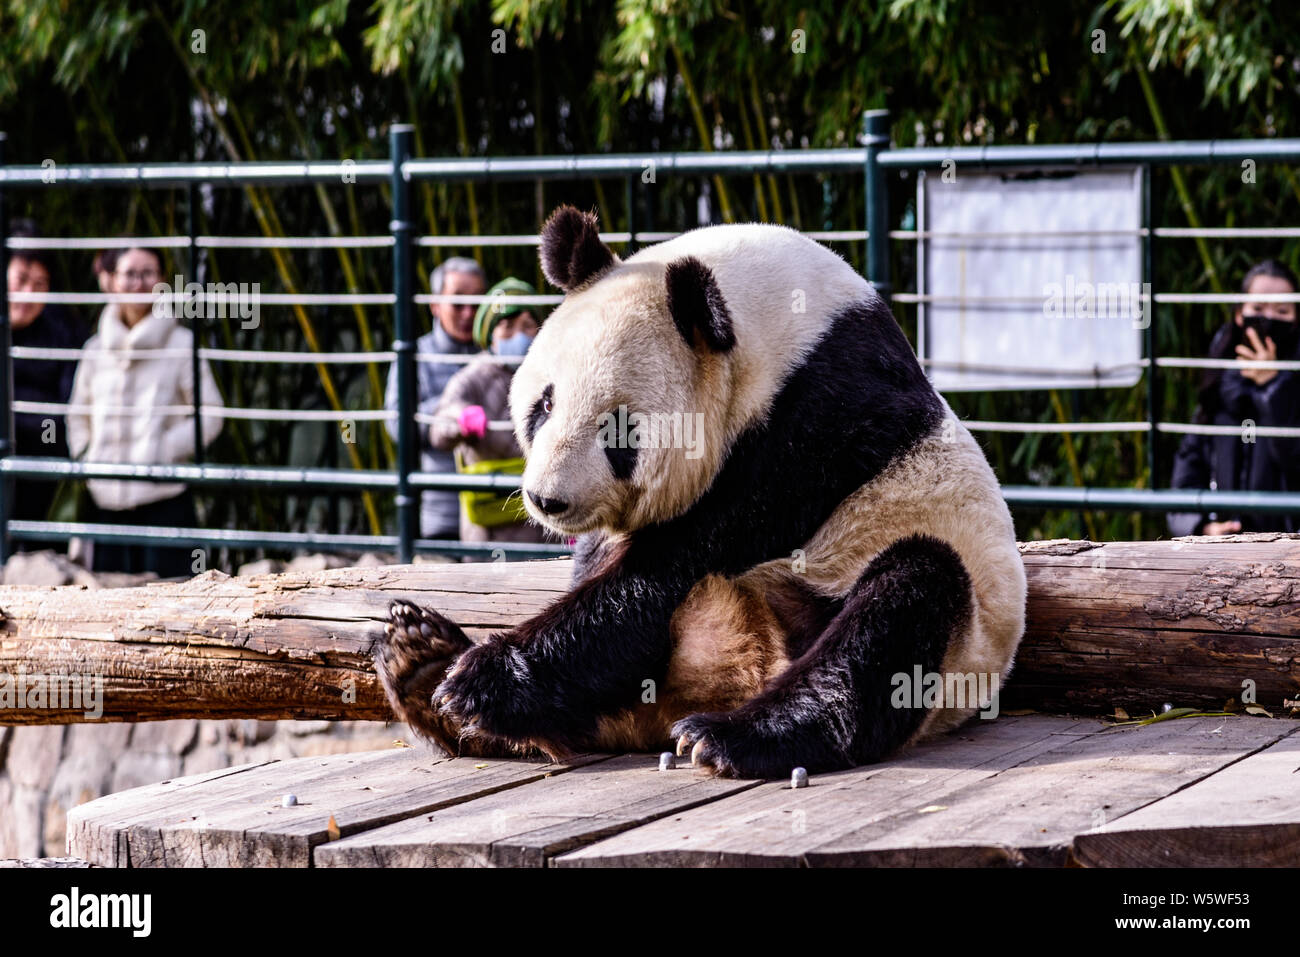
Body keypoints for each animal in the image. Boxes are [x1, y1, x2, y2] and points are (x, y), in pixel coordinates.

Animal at [375, 205, 1027, 779]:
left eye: (618, 431)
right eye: (545, 403)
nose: (547, 501)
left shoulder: (819, 424)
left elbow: (671, 566)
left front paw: (482, 678)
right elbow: (613, 573)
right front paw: (459, 673)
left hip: (942, 622)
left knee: (904, 600)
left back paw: (737, 737)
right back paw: (422, 661)